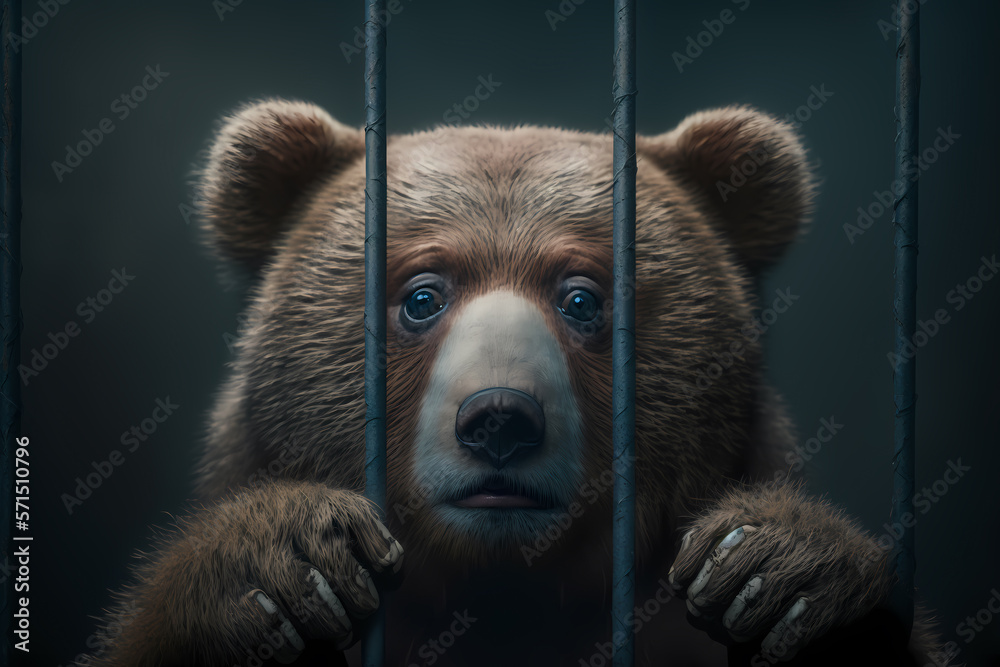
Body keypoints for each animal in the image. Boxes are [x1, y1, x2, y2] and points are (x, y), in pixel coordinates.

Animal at [83, 99, 946, 666]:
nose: (499, 417)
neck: (504, 599)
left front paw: (779, 566)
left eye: (583, 297)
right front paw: (286, 562)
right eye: (422, 295)